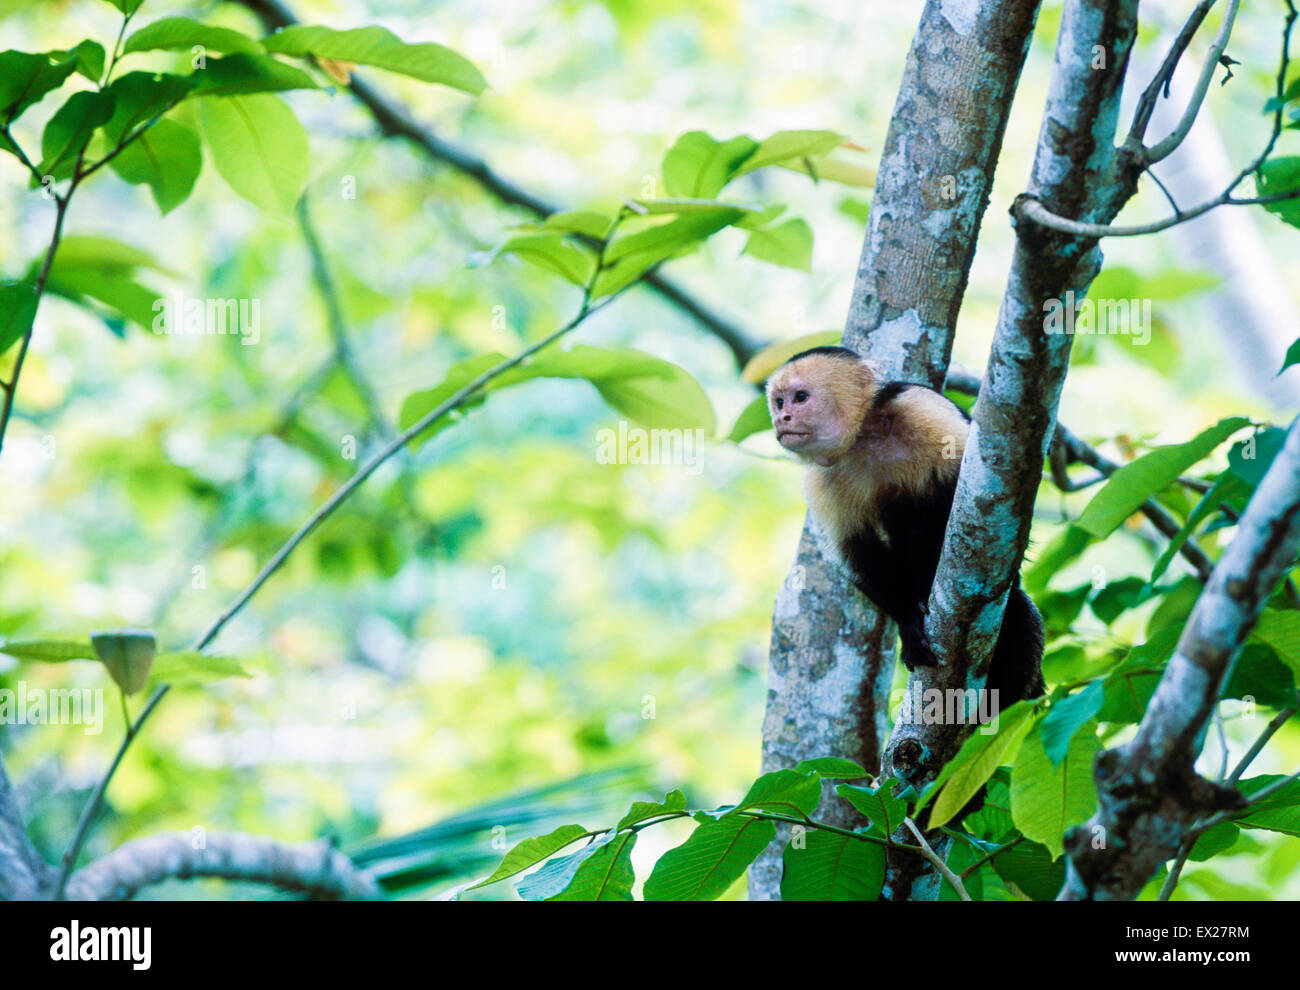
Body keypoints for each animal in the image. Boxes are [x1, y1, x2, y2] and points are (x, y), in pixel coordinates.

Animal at [766, 345, 1044, 712]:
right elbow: (856, 552)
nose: (781, 419)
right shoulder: (820, 477)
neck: (864, 435)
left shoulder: (917, 405)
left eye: (800, 397)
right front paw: (908, 621)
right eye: (778, 402)